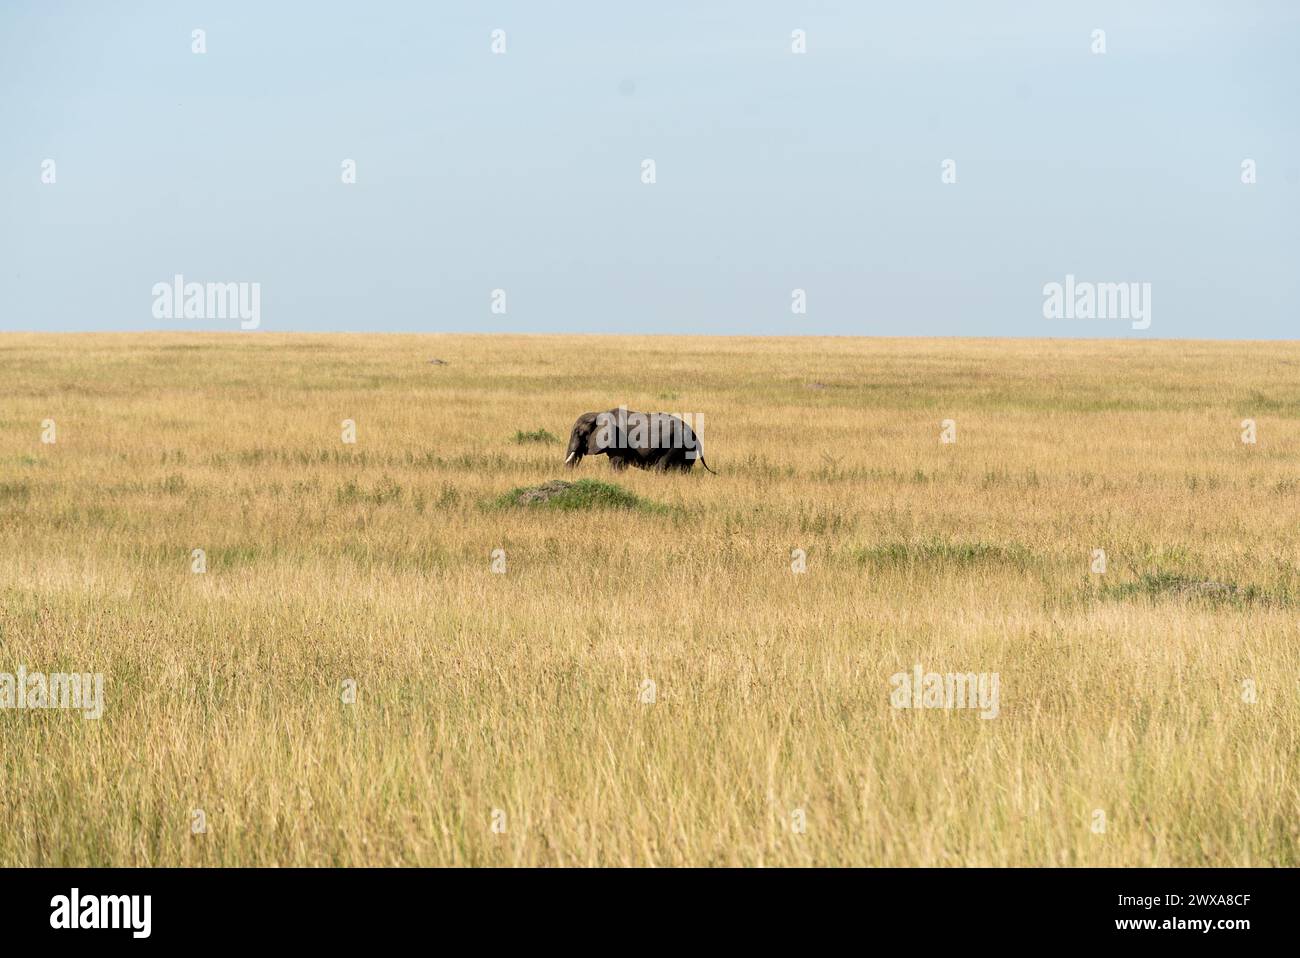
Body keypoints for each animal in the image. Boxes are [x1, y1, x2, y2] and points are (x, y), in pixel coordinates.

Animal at [563, 408, 716, 473]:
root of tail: (694, 434)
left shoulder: (618, 442)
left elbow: (617, 463)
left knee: (661, 467)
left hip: (676, 444)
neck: (599, 413)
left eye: (579, 433)